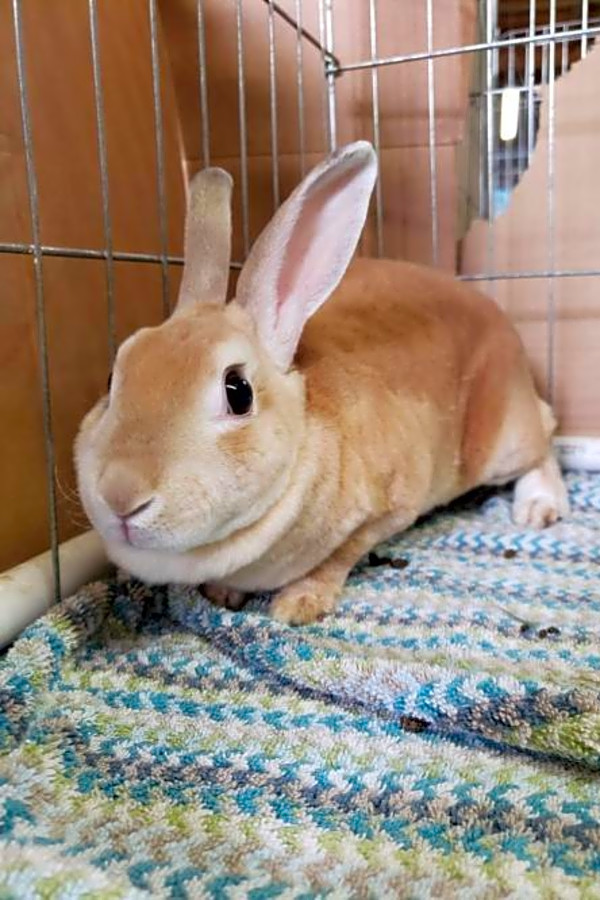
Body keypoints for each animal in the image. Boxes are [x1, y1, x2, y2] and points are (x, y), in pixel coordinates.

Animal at [76, 141, 569, 625]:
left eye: (238, 392)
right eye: (113, 378)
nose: (120, 496)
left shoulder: (390, 509)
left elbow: (340, 556)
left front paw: (299, 603)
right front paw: (222, 594)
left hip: (504, 439)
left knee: (544, 442)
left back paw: (538, 508)